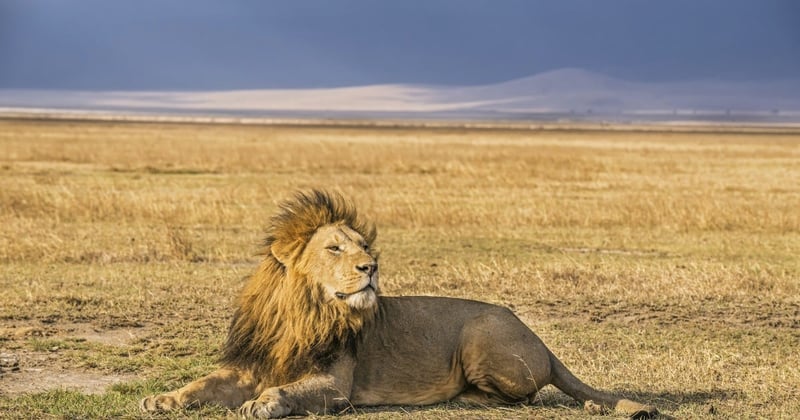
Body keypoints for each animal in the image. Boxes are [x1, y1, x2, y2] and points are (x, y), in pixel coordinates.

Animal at [141, 189, 657, 418]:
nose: (370, 266)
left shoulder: (336, 385)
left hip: (482, 332)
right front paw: (161, 398)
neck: (303, 313)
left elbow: (287, 392)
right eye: (335, 248)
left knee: (524, 394)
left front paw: (263, 405)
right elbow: (201, 384)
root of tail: (543, 341)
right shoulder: (250, 365)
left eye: (364, 245)